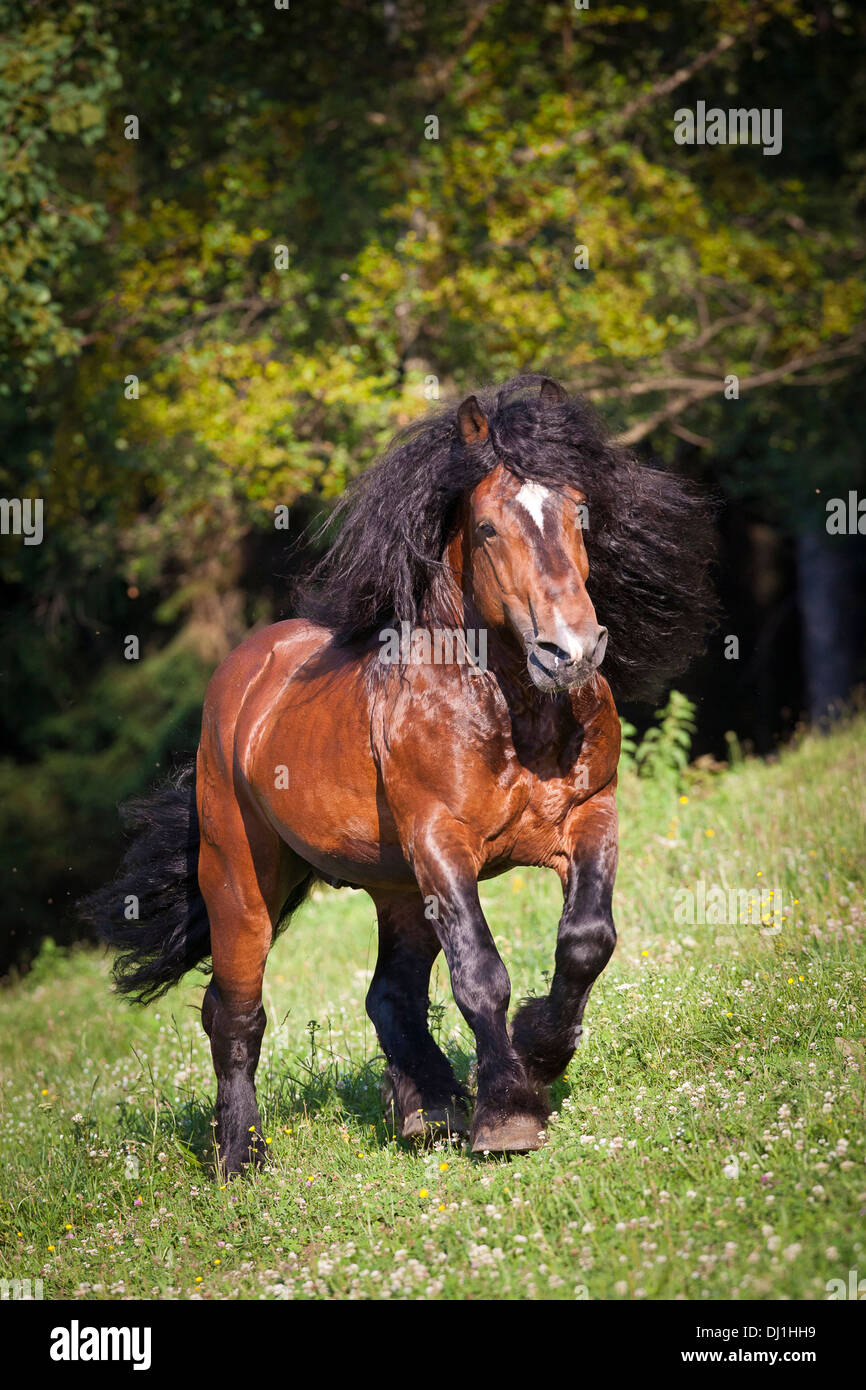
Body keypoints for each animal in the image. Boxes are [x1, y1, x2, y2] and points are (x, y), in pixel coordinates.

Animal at [83, 373, 716, 1176]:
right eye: (487, 528)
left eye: (578, 511)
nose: (570, 652)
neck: (512, 712)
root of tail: (242, 679)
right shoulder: (442, 844)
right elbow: (481, 972)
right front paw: (508, 1114)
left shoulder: (589, 816)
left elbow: (586, 941)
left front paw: (540, 1053)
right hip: (240, 879)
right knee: (235, 1012)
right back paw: (241, 1156)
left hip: (397, 890)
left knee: (390, 995)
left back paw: (430, 1109)